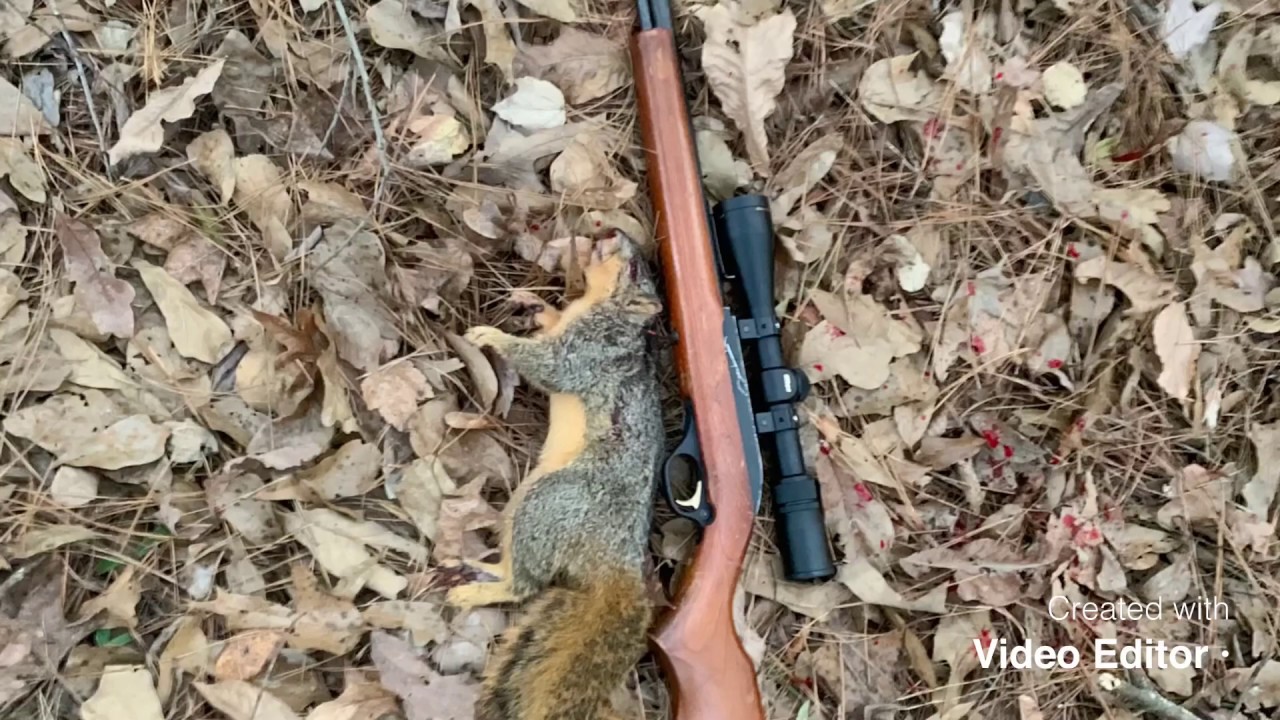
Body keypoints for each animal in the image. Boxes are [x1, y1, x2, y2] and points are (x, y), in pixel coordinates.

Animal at [445, 231, 666, 720]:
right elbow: (549, 325)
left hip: (549, 503)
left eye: (636, 270)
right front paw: (534, 303)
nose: (612, 233)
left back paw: (475, 591)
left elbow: (550, 367)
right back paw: (477, 565)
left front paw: (495, 336)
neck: (592, 305)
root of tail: (616, 559)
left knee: (524, 586)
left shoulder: (591, 350)